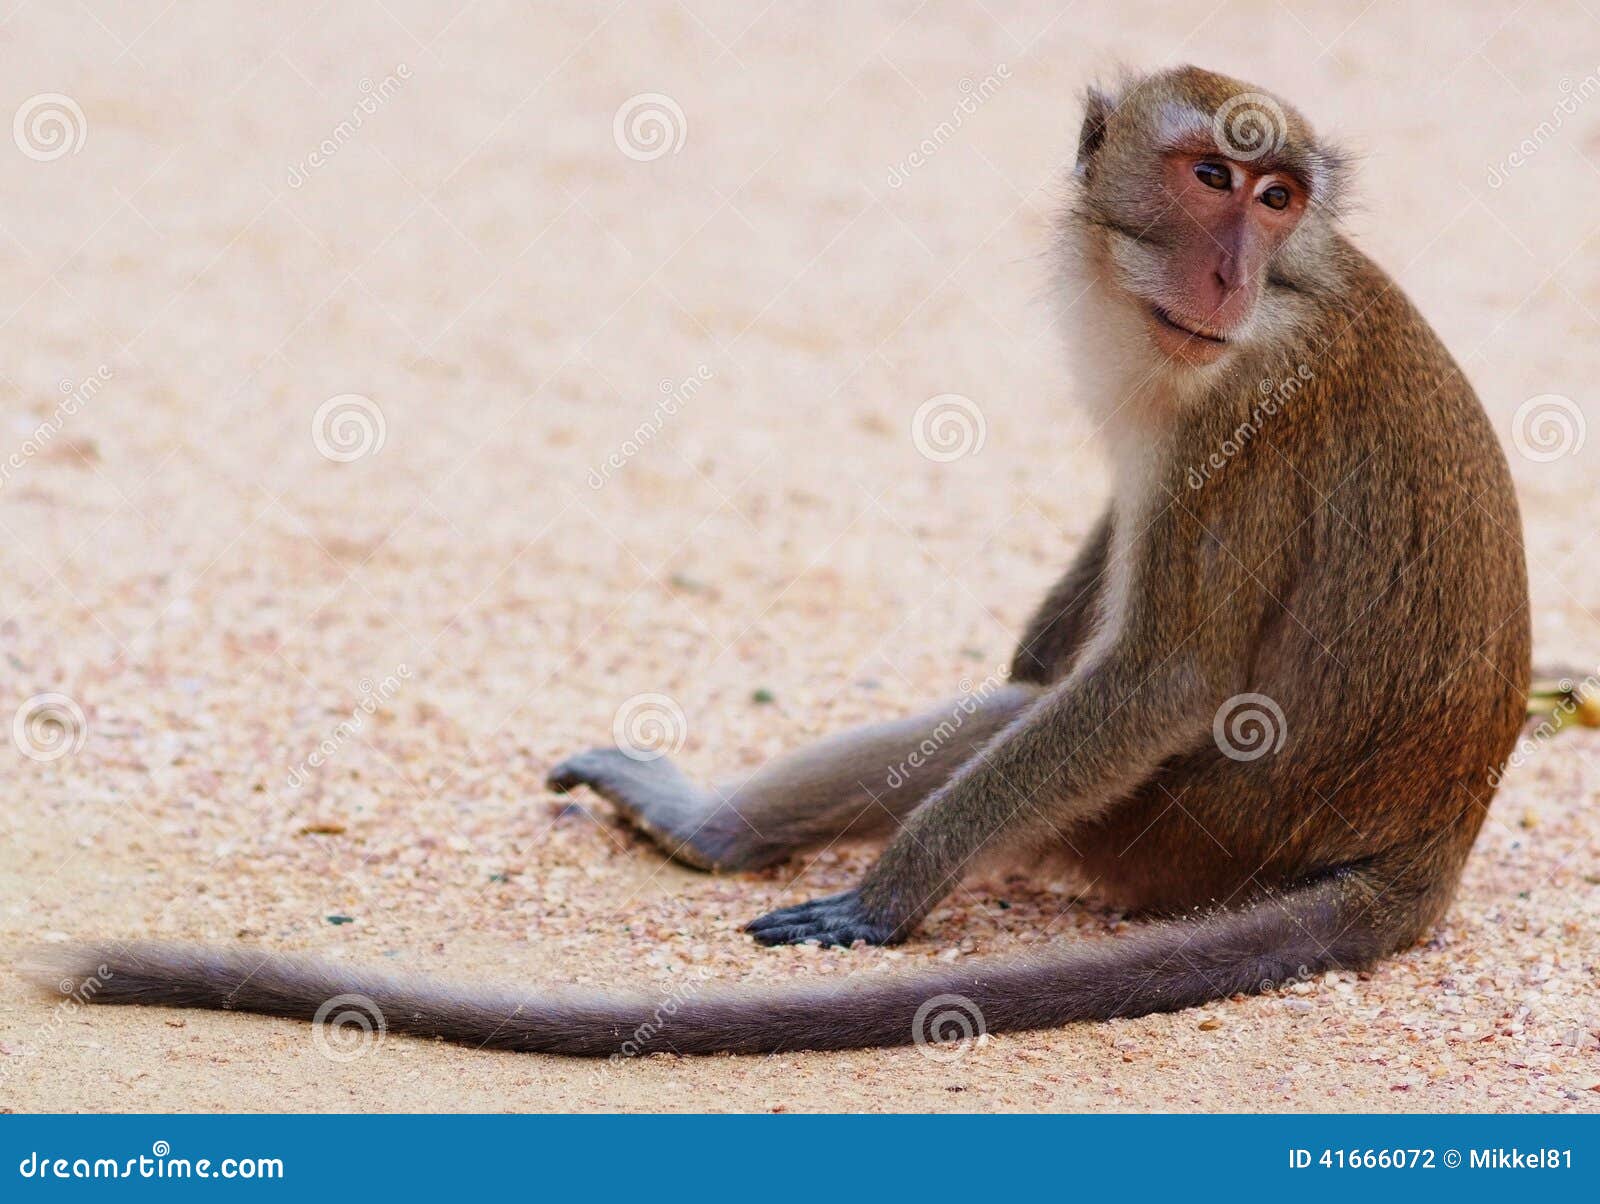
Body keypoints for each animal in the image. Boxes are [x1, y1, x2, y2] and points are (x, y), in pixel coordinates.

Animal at [31, 65, 1530, 1057]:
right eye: (1214, 179)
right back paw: (711, 829)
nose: (1229, 272)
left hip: (1187, 828)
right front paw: (1046, 623)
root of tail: (1428, 845)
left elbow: (1166, 674)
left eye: (1277, 197)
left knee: (1041, 724)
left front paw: (892, 893)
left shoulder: (1242, 407)